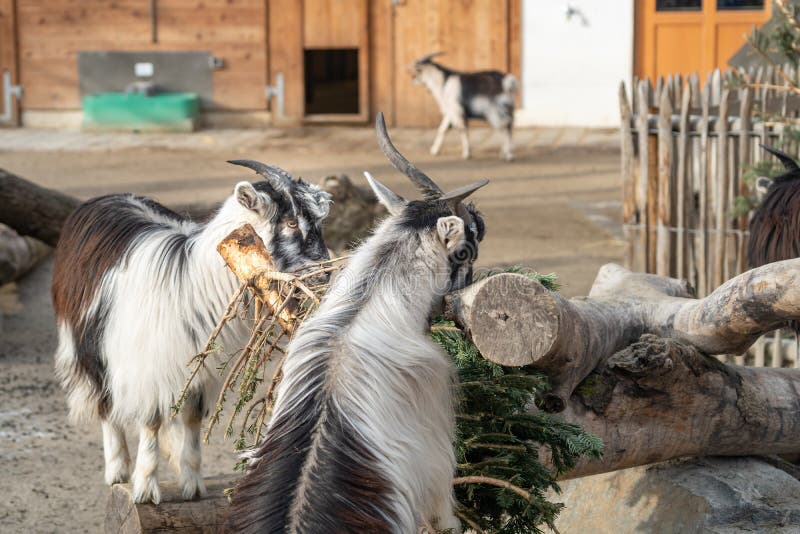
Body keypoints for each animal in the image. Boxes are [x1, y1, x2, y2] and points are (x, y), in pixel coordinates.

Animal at [51, 160, 332, 504]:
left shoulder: (201, 372)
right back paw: (117, 470)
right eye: (292, 222)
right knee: (106, 403)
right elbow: (150, 421)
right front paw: (146, 489)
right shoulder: (148, 366)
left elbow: (192, 420)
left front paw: (192, 483)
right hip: (88, 341)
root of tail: (101, 199)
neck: (191, 282)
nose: (325, 275)